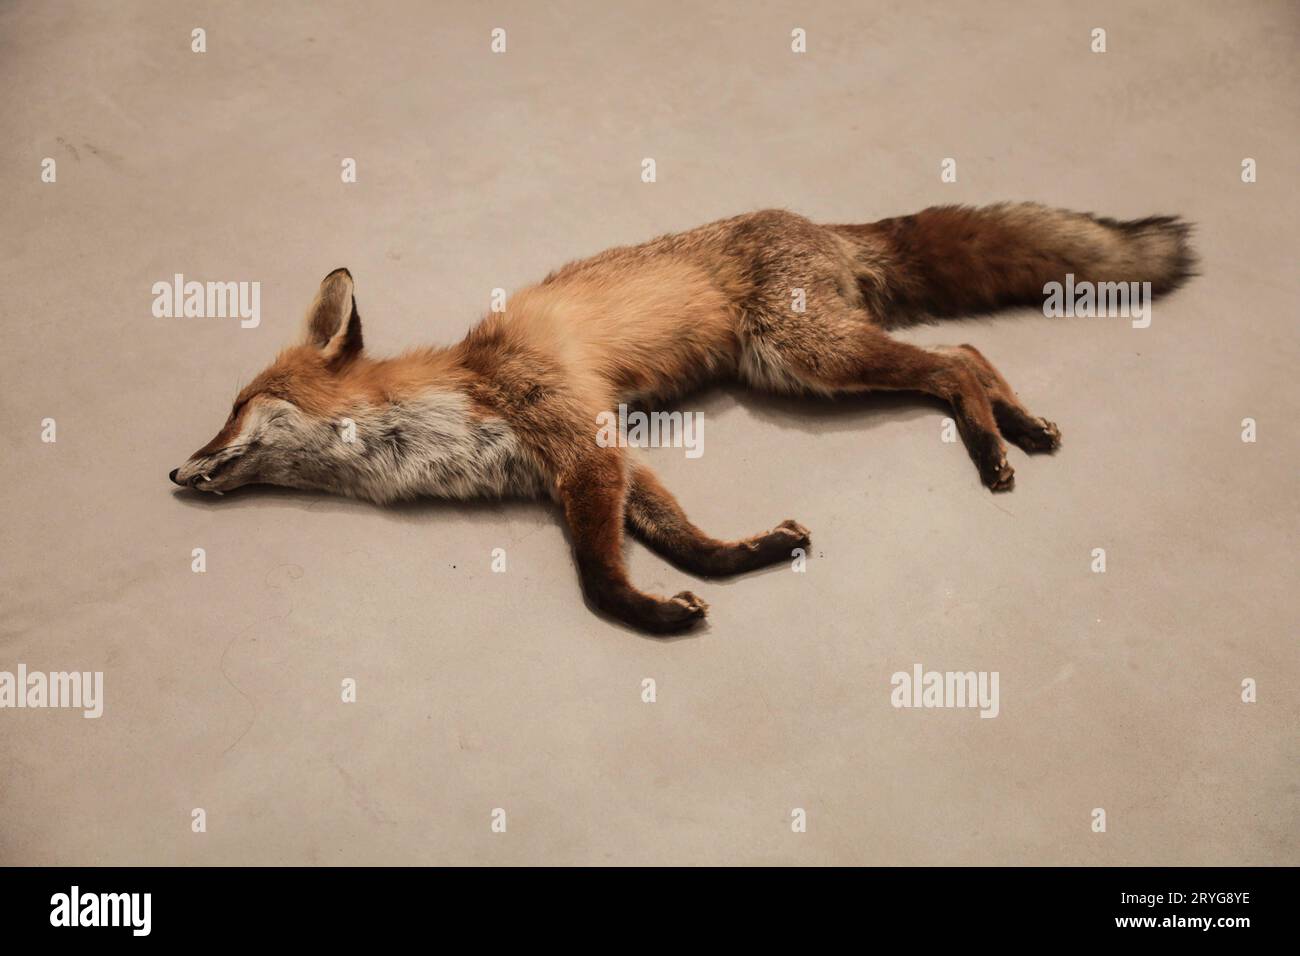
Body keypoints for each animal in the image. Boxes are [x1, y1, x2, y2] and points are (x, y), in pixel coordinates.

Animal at [170, 203, 1194, 634]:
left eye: (234, 409)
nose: (176, 470)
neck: (450, 402)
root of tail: (815, 221)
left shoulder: (579, 446)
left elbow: (597, 581)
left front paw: (653, 617)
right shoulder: (603, 462)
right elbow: (687, 541)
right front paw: (749, 558)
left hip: (810, 359)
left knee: (957, 361)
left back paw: (993, 444)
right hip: (806, 365)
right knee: (969, 357)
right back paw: (1022, 427)